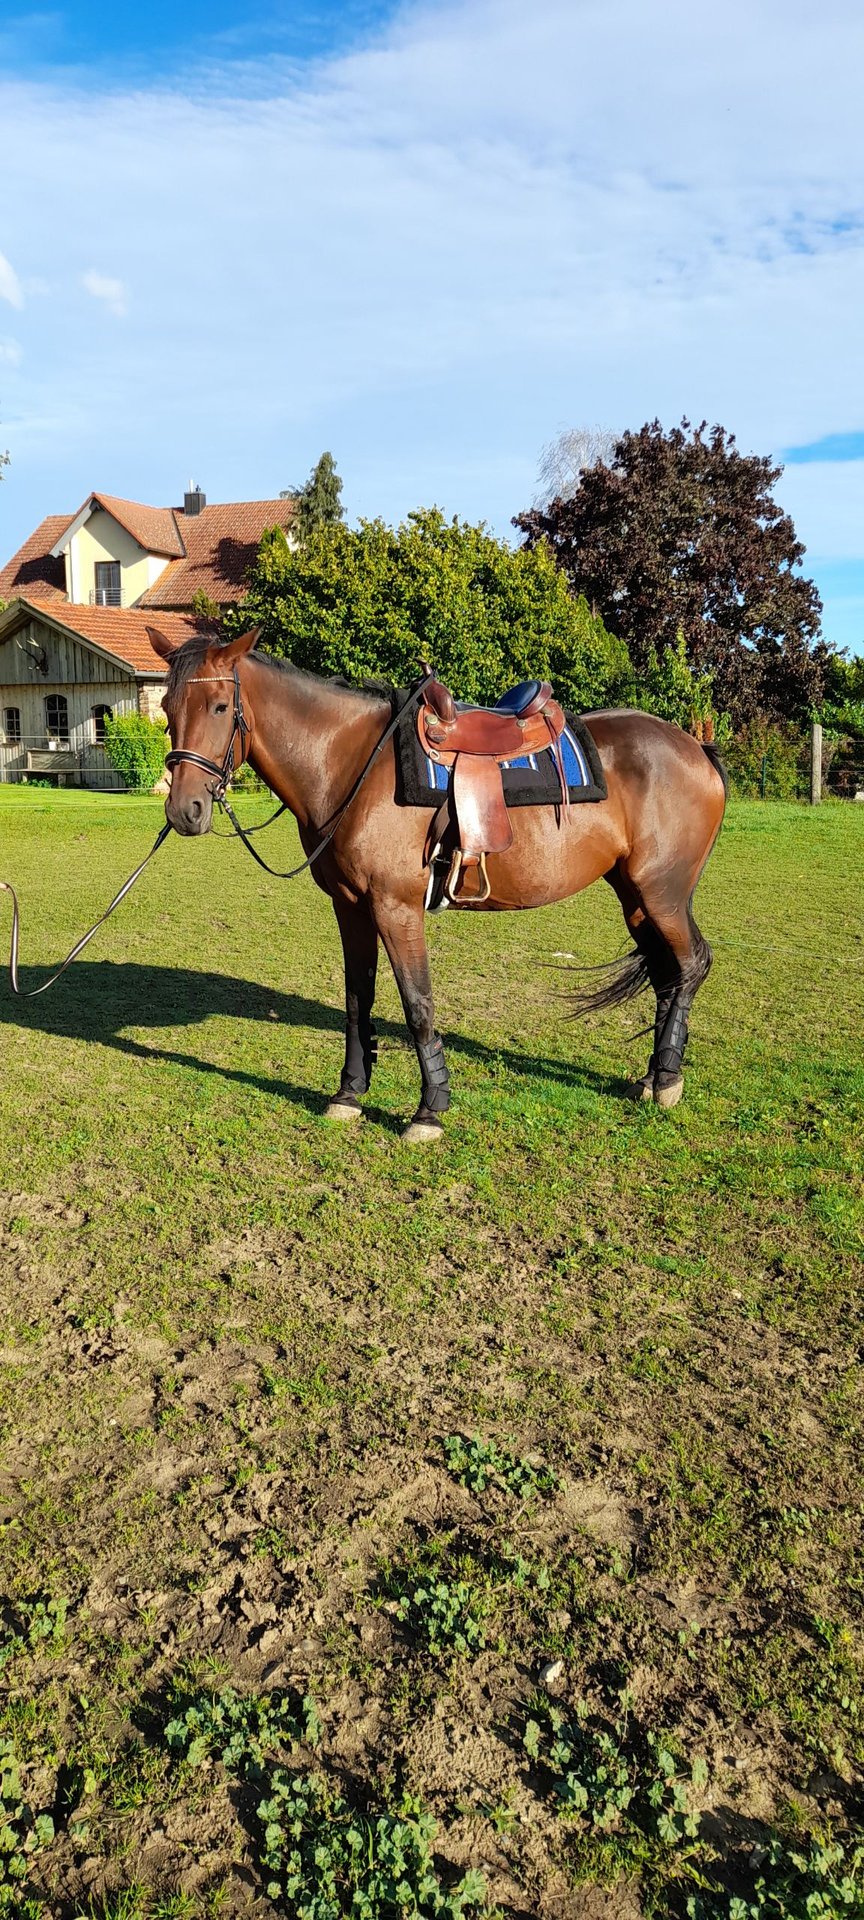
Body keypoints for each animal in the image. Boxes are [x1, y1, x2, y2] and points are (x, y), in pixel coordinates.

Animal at [148, 624, 727, 1142]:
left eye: (220, 707)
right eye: (168, 710)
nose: (183, 810)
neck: (349, 764)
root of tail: (696, 747)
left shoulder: (396, 906)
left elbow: (417, 1003)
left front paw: (430, 1110)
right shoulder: (350, 907)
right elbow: (358, 998)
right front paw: (349, 1094)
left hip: (662, 894)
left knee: (691, 964)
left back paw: (667, 1080)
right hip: (635, 897)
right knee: (667, 973)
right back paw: (653, 1076)